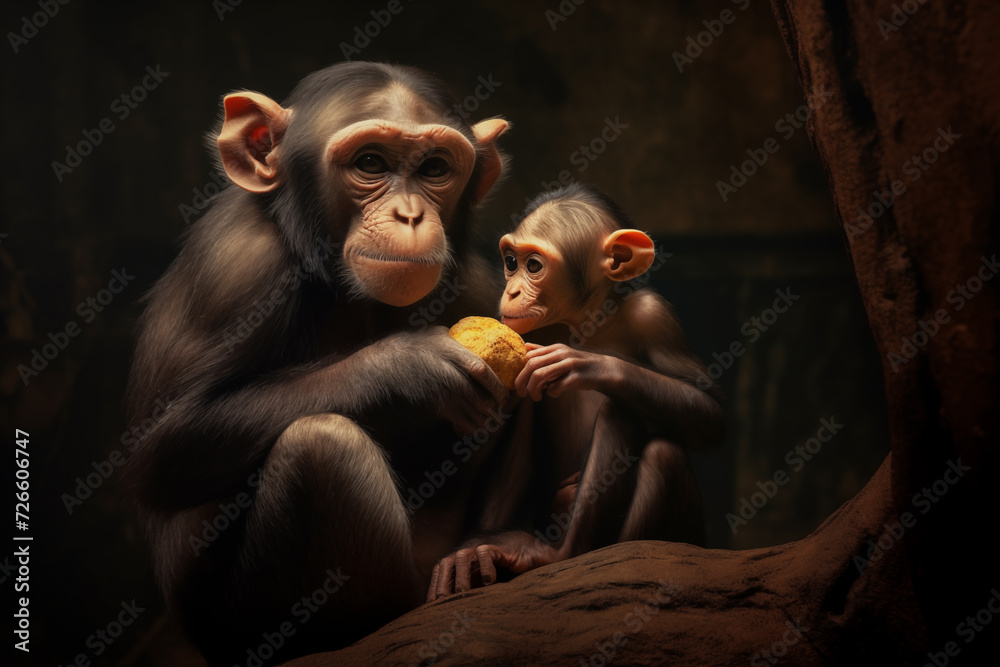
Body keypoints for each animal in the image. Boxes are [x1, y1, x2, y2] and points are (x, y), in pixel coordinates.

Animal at [123, 62, 515, 664]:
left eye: (434, 168)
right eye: (371, 164)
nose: (409, 214)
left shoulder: (476, 285)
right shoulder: (236, 265)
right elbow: (162, 447)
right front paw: (409, 367)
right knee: (323, 447)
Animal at [427, 183, 724, 601]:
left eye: (534, 266)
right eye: (510, 261)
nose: (512, 290)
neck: (586, 320)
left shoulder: (654, 316)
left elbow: (709, 408)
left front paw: (583, 364)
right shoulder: (523, 338)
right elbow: (517, 449)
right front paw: (471, 549)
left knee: (652, 442)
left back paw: (566, 555)